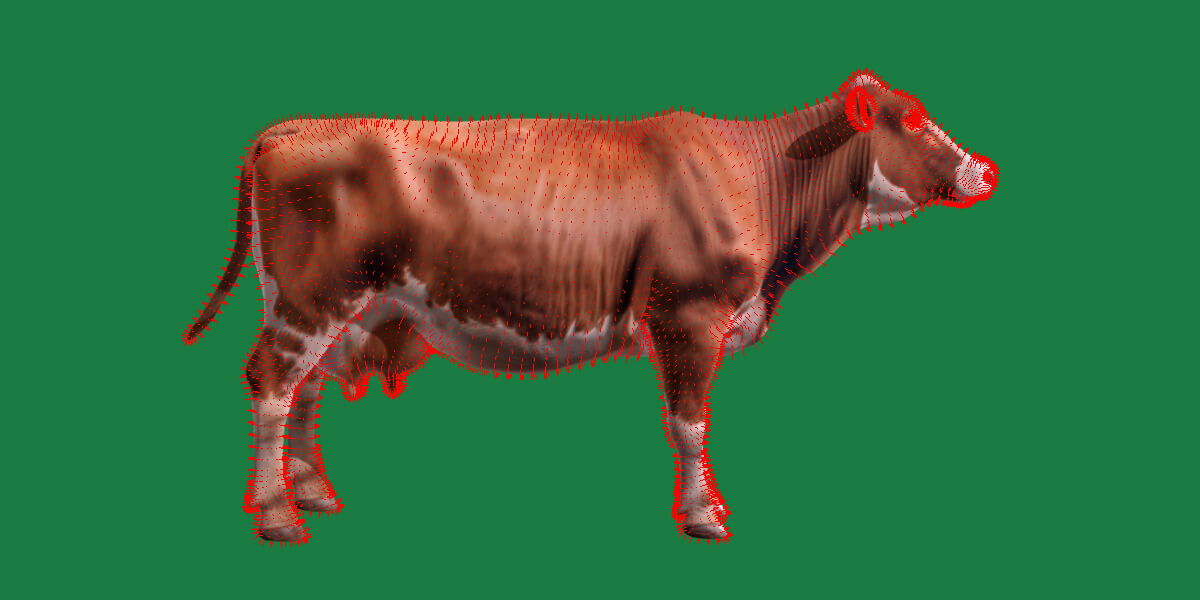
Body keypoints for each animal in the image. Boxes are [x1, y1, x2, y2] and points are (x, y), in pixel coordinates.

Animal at [183, 70, 998, 544]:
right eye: (912, 120)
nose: (983, 169)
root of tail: (300, 124)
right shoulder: (687, 317)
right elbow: (689, 423)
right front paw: (704, 514)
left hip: (322, 304)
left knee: (305, 389)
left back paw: (313, 494)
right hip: (314, 296)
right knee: (272, 384)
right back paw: (278, 514)